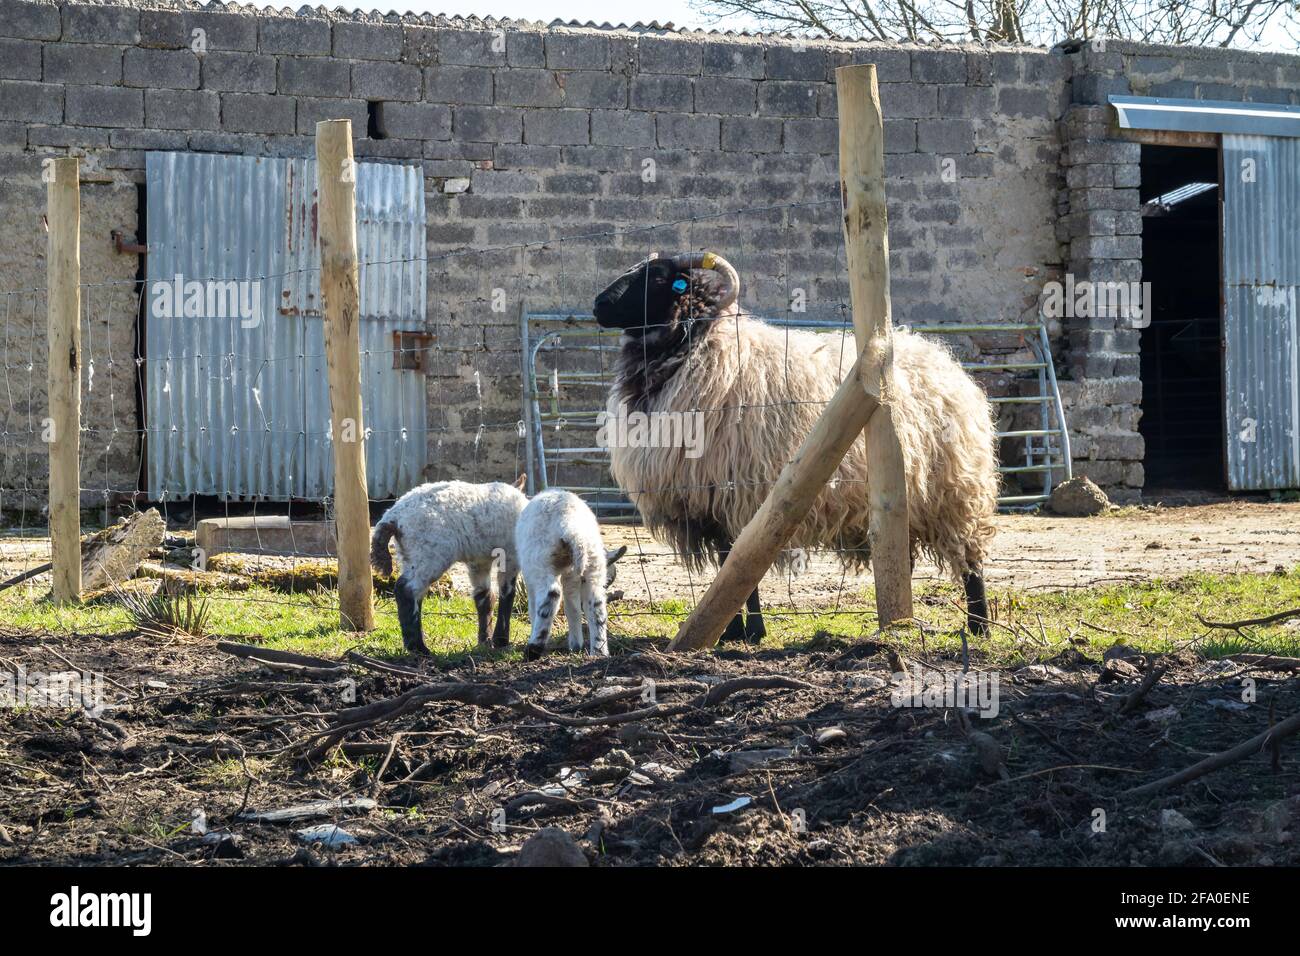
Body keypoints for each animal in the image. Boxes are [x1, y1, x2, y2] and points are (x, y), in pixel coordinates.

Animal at [370, 477, 528, 654]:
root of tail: (392, 517)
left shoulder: (478, 561)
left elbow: (484, 598)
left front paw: (485, 642)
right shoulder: (511, 554)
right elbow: (508, 593)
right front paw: (501, 640)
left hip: (410, 554)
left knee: (415, 591)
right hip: (430, 553)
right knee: (407, 589)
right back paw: (418, 647)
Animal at [515, 489, 628, 660]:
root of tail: (572, 529)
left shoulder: (530, 576)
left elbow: (533, 606)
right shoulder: (572, 576)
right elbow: (572, 608)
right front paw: (576, 645)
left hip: (540, 561)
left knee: (551, 595)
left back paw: (534, 648)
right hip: (592, 563)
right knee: (596, 606)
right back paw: (599, 651)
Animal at [592, 251, 998, 642]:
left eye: (658, 277)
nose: (598, 305)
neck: (698, 351)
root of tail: (945, 362)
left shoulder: (733, 493)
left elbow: (734, 561)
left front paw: (748, 632)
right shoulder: (709, 500)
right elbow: (726, 560)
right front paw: (730, 631)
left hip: (954, 491)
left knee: (971, 561)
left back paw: (979, 626)